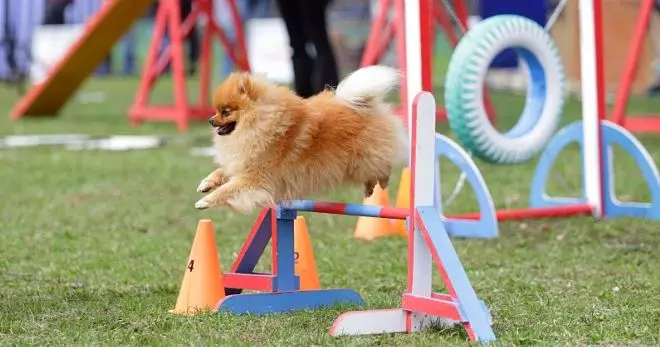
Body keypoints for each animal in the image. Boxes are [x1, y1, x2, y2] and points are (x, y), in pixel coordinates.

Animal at [193, 64, 408, 213]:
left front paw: (205, 201)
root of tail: (365, 103)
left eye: (225, 111)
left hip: (365, 158)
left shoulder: (255, 176)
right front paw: (205, 183)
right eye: (216, 110)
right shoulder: (242, 162)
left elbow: (228, 189)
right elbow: (221, 172)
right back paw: (369, 190)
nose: (210, 120)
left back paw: (379, 185)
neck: (259, 123)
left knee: (383, 168)